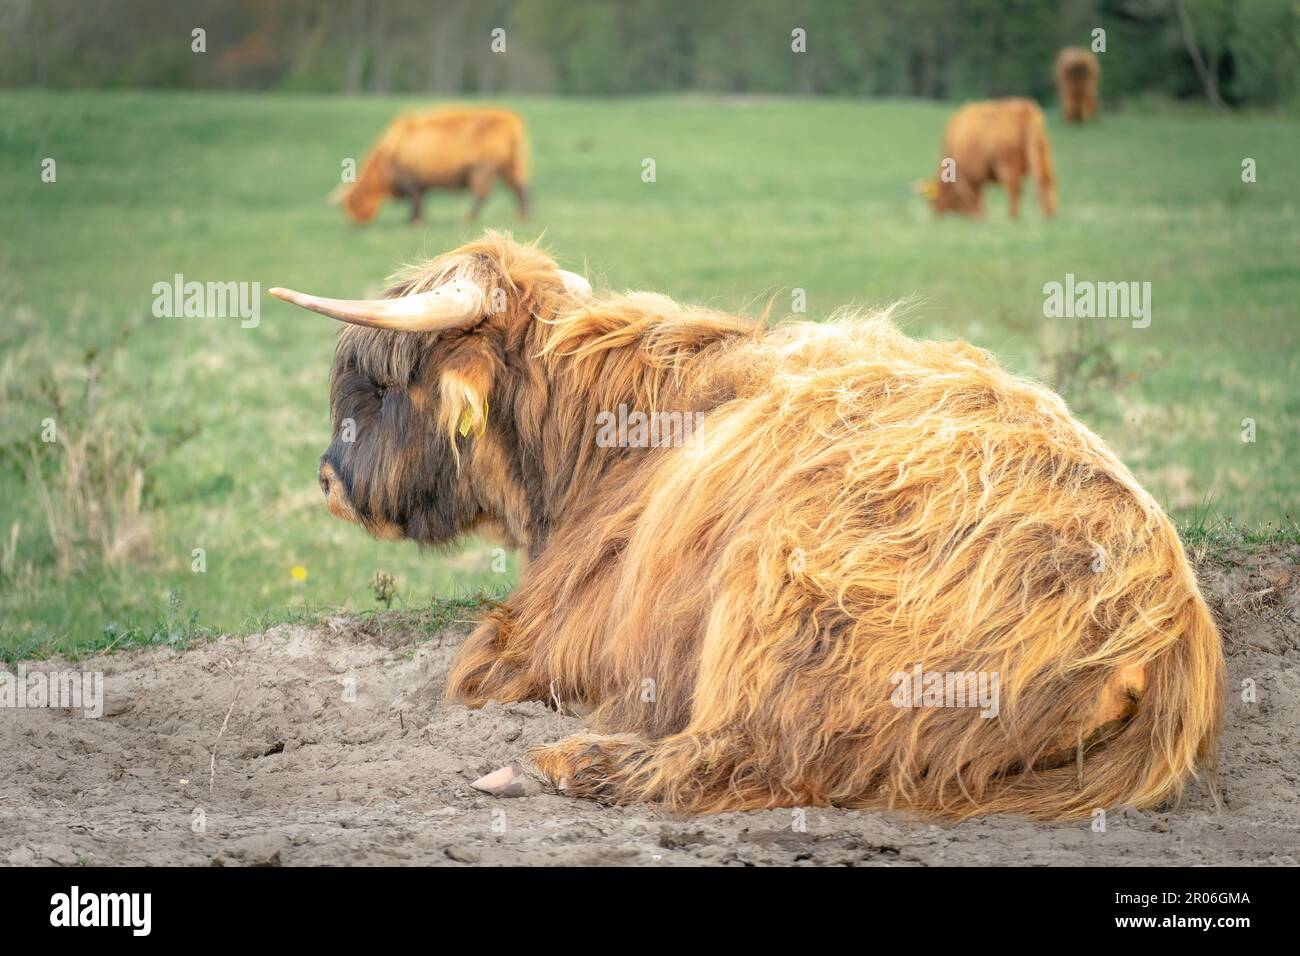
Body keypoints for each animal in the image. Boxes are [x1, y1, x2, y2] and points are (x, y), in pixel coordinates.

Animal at [271, 233, 1224, 819]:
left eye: (383, 385)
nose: (326, 479)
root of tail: (1166, 622)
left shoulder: (560, 630)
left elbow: (469, 667)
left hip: (785, 591)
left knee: (745, 754)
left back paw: (552, 764)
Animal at [340, 108, 530, 224]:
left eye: (353, 203)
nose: (354, 222)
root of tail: (511, 119)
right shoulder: (420, 182)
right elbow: (420, 200)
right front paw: (414, 219)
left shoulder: (409, 180)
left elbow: (415, 200)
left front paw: (415, 221)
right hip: (507, 167)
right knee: (519, 188)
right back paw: (521, 216)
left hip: (482, 170)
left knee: (483, 194)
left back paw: (468, 218)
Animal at [919, 98, 1056, 219]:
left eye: (934, 200)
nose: (937, 214)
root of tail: (1025, 109)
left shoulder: (966, 175)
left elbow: (971, 194)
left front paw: (977, 215)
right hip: (1042, 155)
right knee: (1046, 181)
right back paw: (1049, 215)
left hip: (1007, 163)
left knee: (1015, 188)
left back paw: (1011, 217)